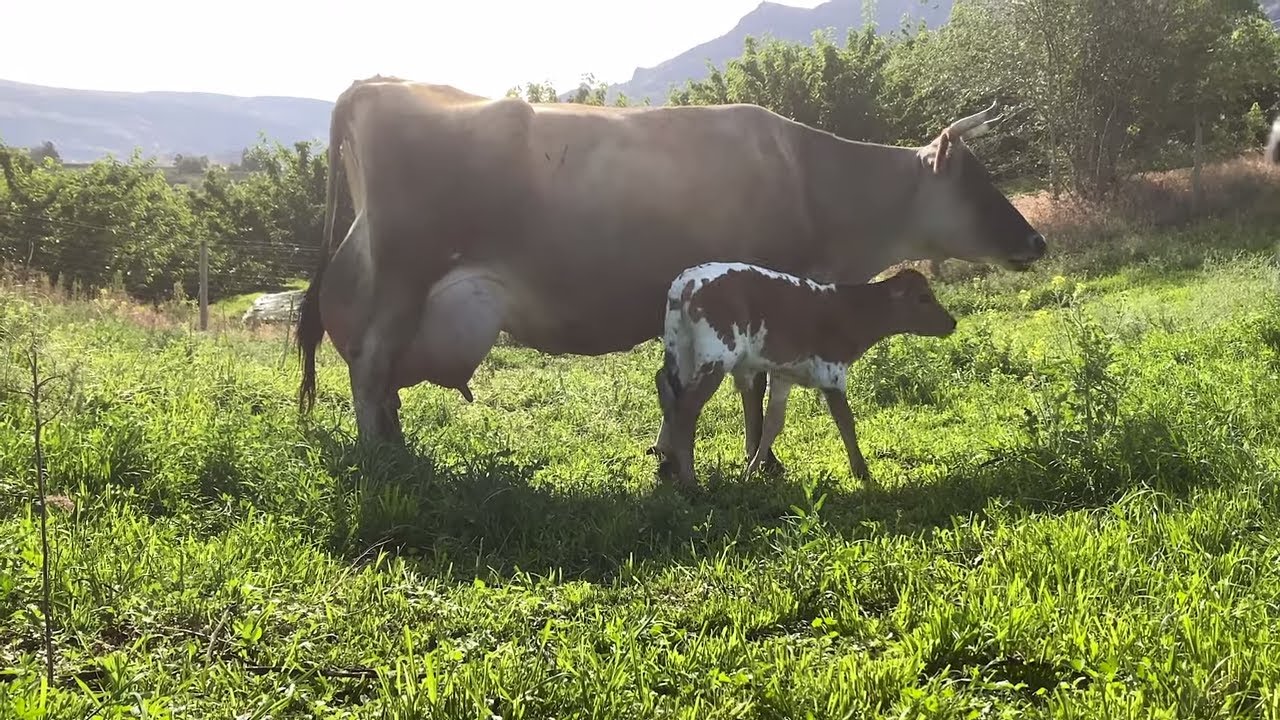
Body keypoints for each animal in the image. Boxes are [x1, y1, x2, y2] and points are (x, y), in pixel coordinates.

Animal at [653, 262, 956, 490]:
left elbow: (772, 423)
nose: (952, 322)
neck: (849, 310)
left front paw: (752, 472)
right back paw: (690, 481)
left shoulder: (783, 374)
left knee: (666, 388)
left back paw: (673, 465)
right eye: (923, 298)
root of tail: (686, 283)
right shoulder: (832, 371)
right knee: (687, 408)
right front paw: (862, 472)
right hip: (715, 357)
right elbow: (846, 421)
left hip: (681, 352)